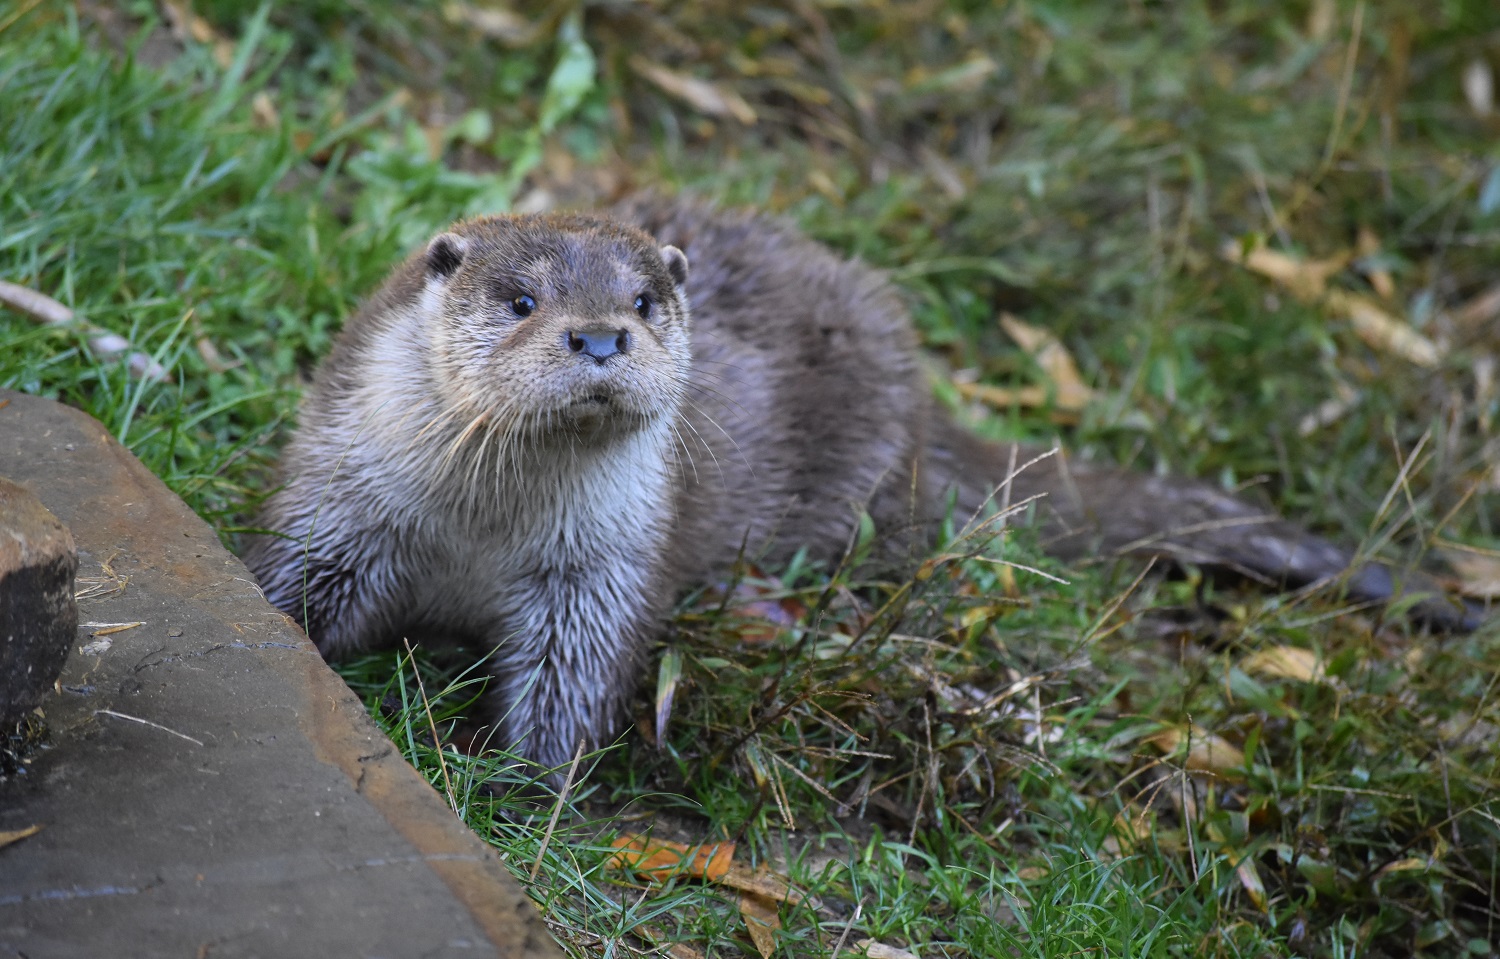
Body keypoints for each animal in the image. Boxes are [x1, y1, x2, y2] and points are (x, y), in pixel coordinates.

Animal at [244, 197, 1476, 772]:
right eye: (520, 299)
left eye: (642, 302)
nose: (599, 337)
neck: (479, 529)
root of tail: (921, 402)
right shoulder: (344, 495)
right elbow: (291, 584)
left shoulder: (603, 569)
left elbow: (574, 679)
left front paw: (526, 788)